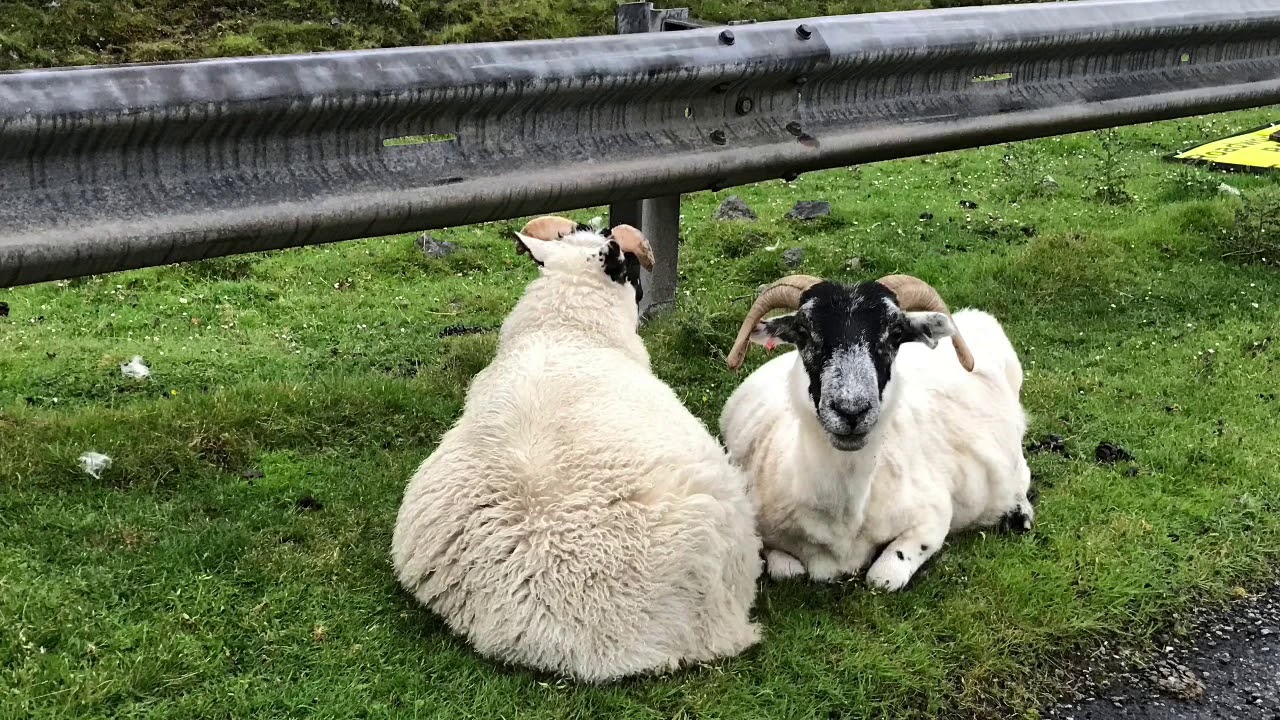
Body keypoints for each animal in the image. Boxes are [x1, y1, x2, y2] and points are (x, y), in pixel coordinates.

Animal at [718, 273, 1034, 592]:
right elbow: (787, 571)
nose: (851, 410)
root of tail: (975, 318)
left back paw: (1020, 514)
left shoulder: (931, 520)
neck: (841, 520)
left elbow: (883, 577)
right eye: (802, 330)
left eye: (897, 333)